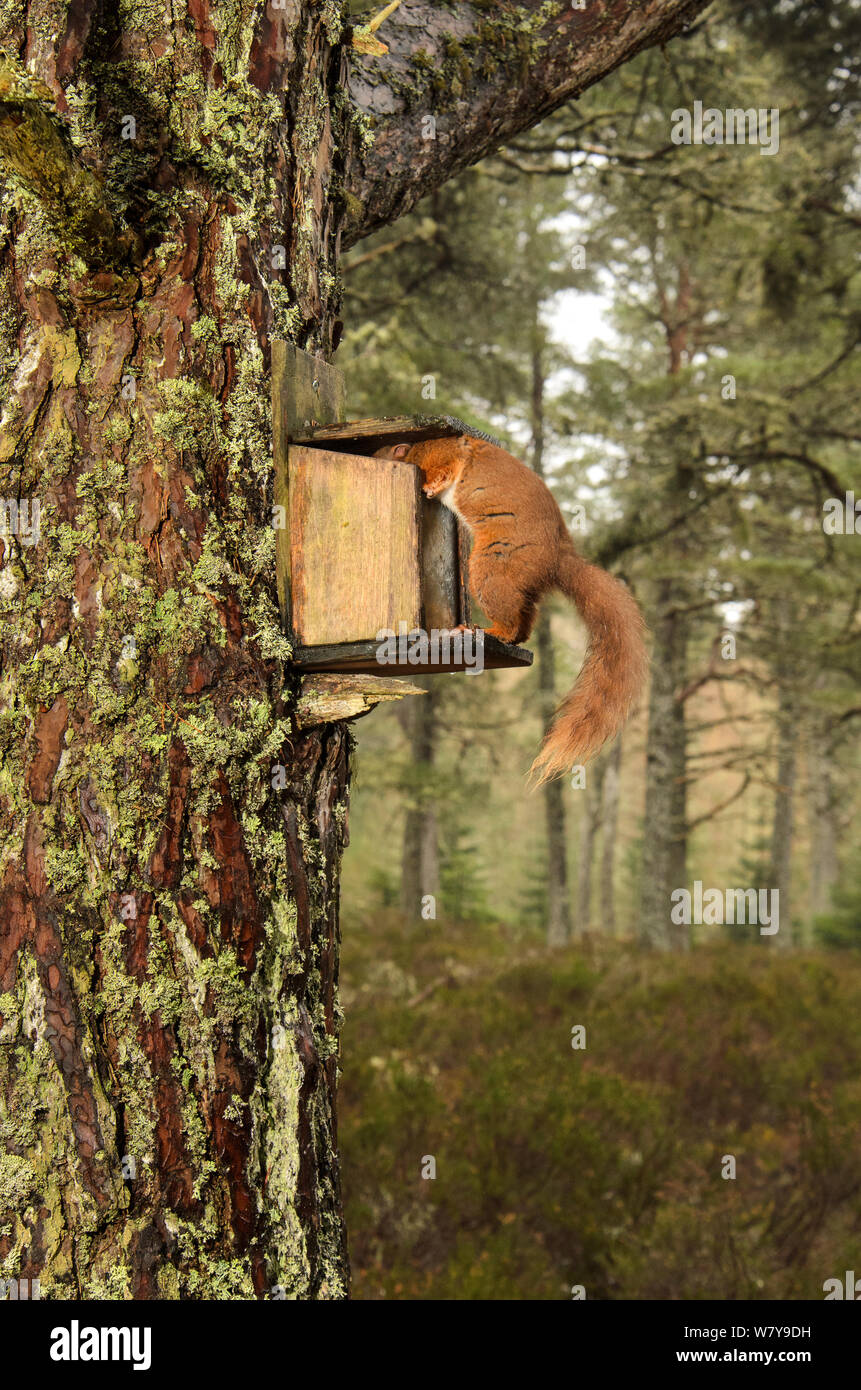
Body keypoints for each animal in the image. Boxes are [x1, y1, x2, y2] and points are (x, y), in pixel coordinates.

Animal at [375, 435, 648, 785]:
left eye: (378, 453)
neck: (415, 452)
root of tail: (558, 559)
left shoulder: (442, 455)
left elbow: (444, 471)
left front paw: (429, 488)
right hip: (519, 587)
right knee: (524, 619)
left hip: (490, 569)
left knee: (508, 617)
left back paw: (485, 630)